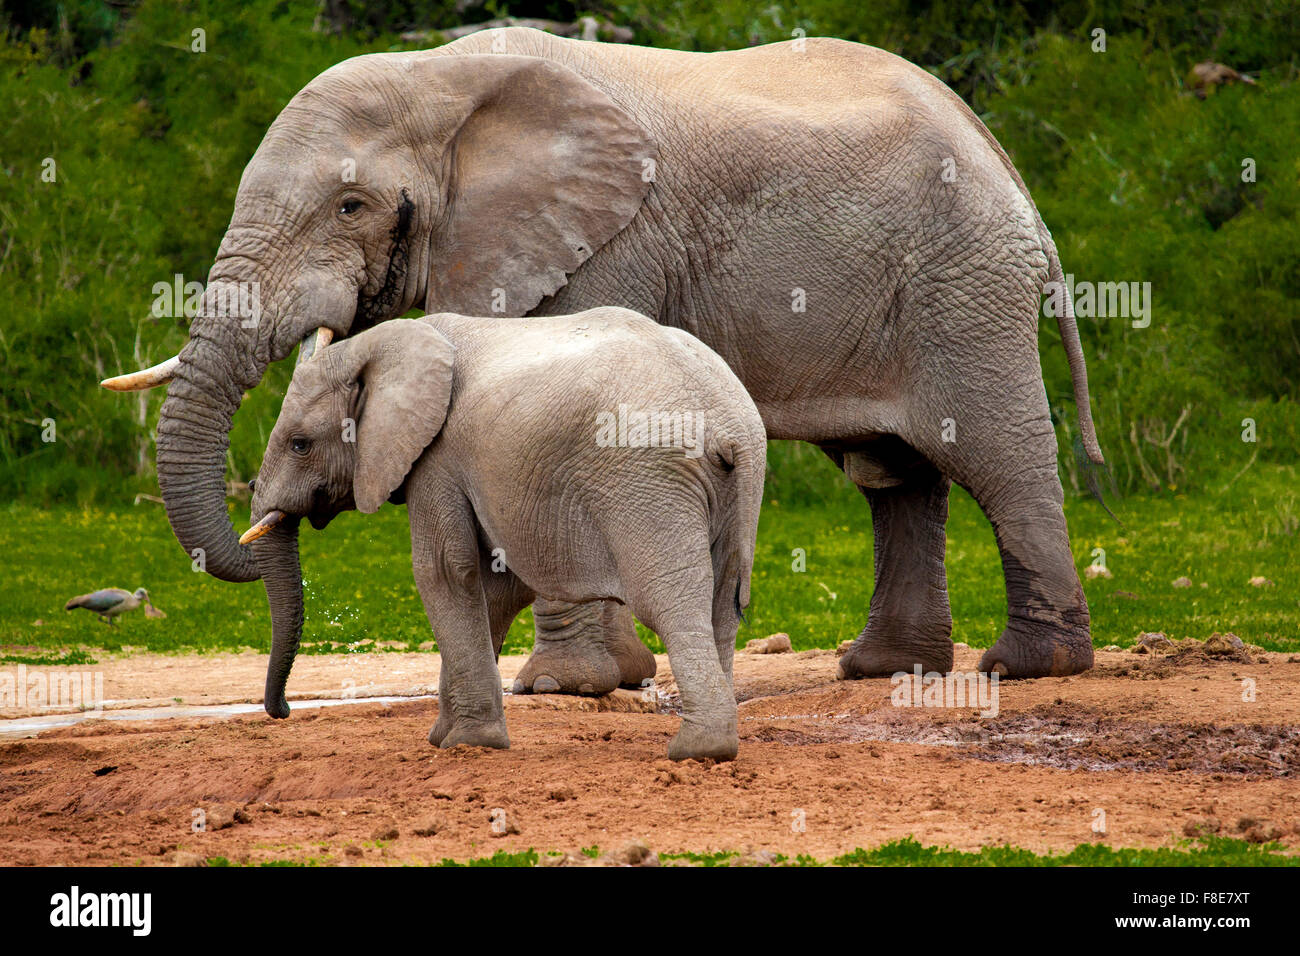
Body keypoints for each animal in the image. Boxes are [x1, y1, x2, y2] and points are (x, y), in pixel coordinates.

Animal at [104, 27, 1105, 688]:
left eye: (349, 207)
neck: (442, 74)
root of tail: (1002, 158)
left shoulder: (602, 246)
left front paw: (568, 688)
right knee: (893, 471)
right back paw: (882, 669)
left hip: (963, 286)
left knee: (993, 451)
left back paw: (1029, 667)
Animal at [240, 310, 766, 760]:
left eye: (300, 444)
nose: (282, 711)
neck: (374, 345)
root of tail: (728, 425)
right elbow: (494, 588)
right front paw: (443, 737)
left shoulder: (437, 458)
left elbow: (444, 572)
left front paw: (468, 744)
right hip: (741, 486)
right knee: (724, 604)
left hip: (647, 479)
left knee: (670, 601)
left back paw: (697, 750)